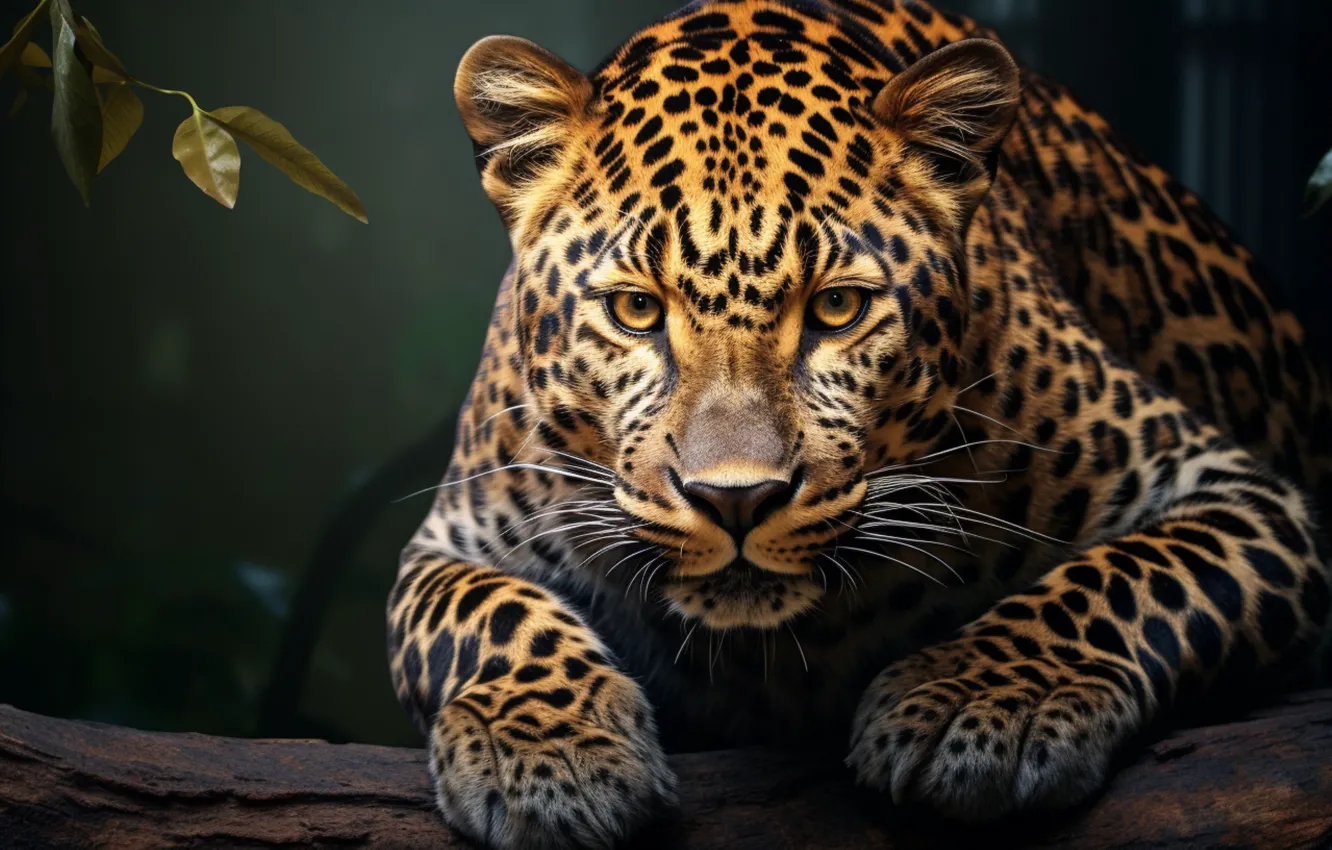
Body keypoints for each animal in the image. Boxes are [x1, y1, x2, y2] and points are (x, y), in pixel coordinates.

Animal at [385, 1, 1332, 846]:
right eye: (635, 310)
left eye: (837, 309)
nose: (735, 501)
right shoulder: (456, 537)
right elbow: (490, 615)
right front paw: (545, 751)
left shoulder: (1234, 491)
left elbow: (1114, 580)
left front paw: (975, 698)